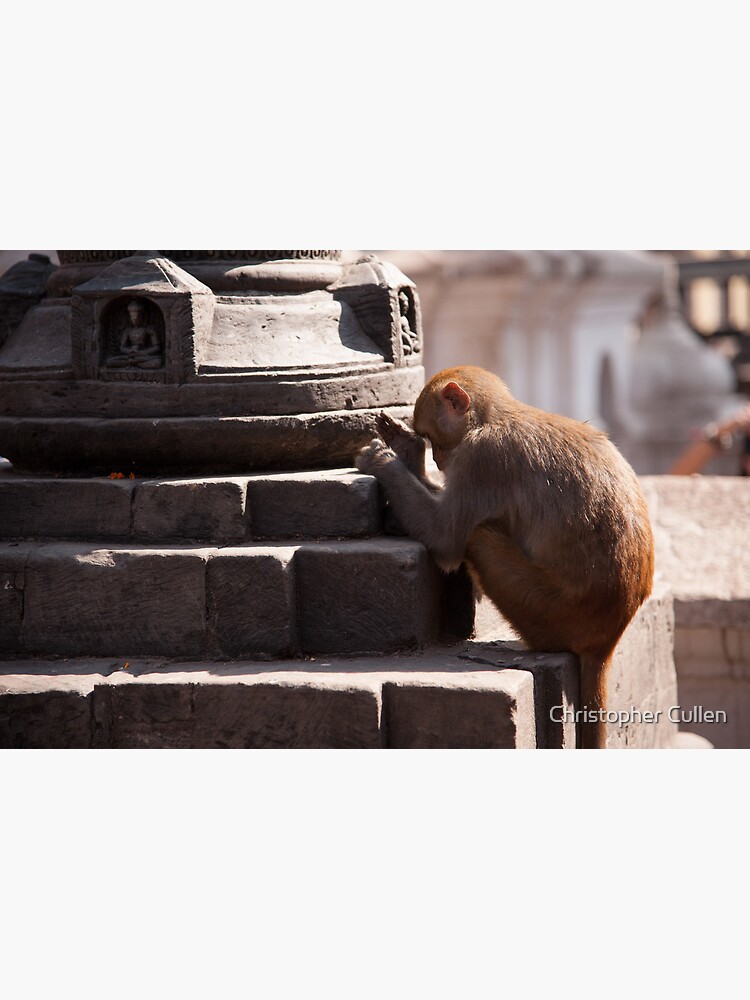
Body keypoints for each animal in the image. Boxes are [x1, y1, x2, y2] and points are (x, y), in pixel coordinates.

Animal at [356, 365, 655, 749]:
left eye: (436, 437)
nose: (437, 458)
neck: (495, 418)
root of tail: (606, 639)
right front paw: (408, 454)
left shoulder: (480, 460)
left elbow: (446, 537)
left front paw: (385, 463)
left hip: (546, 610)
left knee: (478, 535)